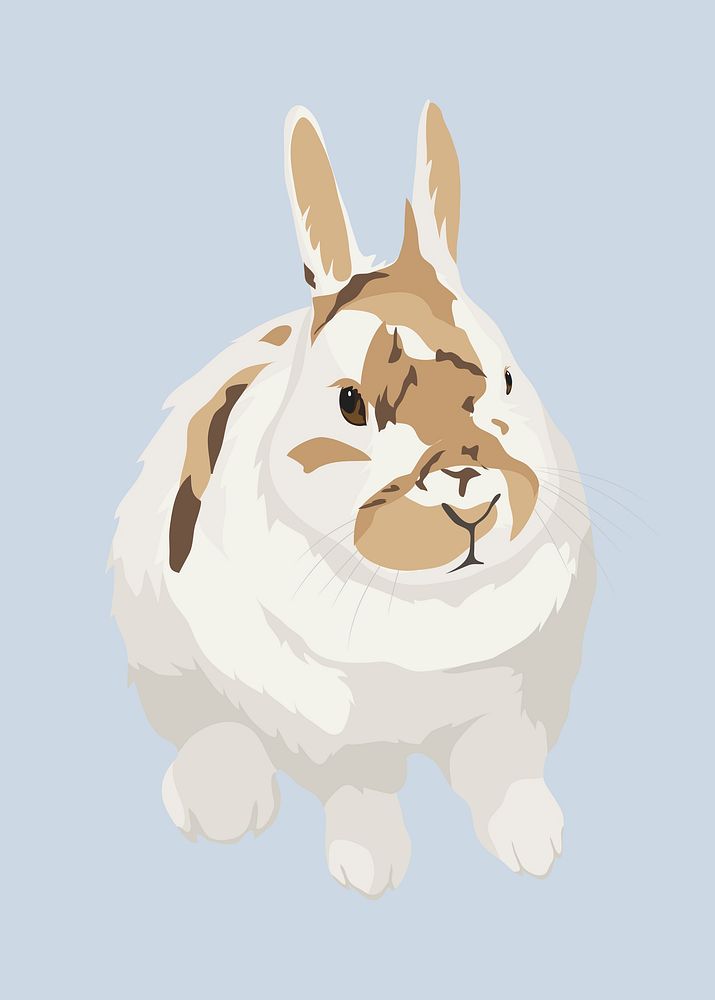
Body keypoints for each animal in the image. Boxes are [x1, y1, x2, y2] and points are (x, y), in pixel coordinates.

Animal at [111, 101, 595, 897]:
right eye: (349, 404)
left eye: (507, 379)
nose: (468, 491)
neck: (432, 608)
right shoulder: (328, 731)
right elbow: (360, 787)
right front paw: (370, 867)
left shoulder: (521, 698)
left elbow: (503, 767)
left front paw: (532, 845)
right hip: (155, 636)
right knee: (195, 719)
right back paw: (222, 804)